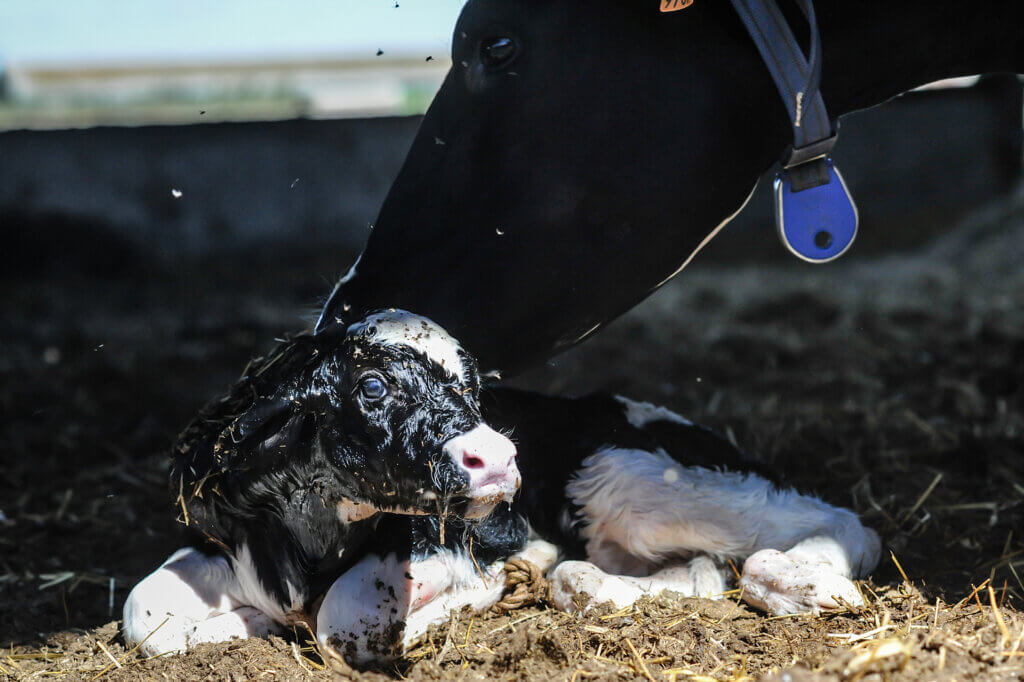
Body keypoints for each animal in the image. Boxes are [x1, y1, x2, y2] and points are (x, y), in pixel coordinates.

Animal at [124, 311, 879, 665]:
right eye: (372, 385)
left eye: (471, 387)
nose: (500, 456)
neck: (308, 550)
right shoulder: (229, 547)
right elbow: (141, 613)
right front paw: (247, 622)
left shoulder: (448, 544)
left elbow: (342, 618)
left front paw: (479, 595)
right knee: (686, 572)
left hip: (630, 475)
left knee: (839, 528)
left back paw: (810, 585)